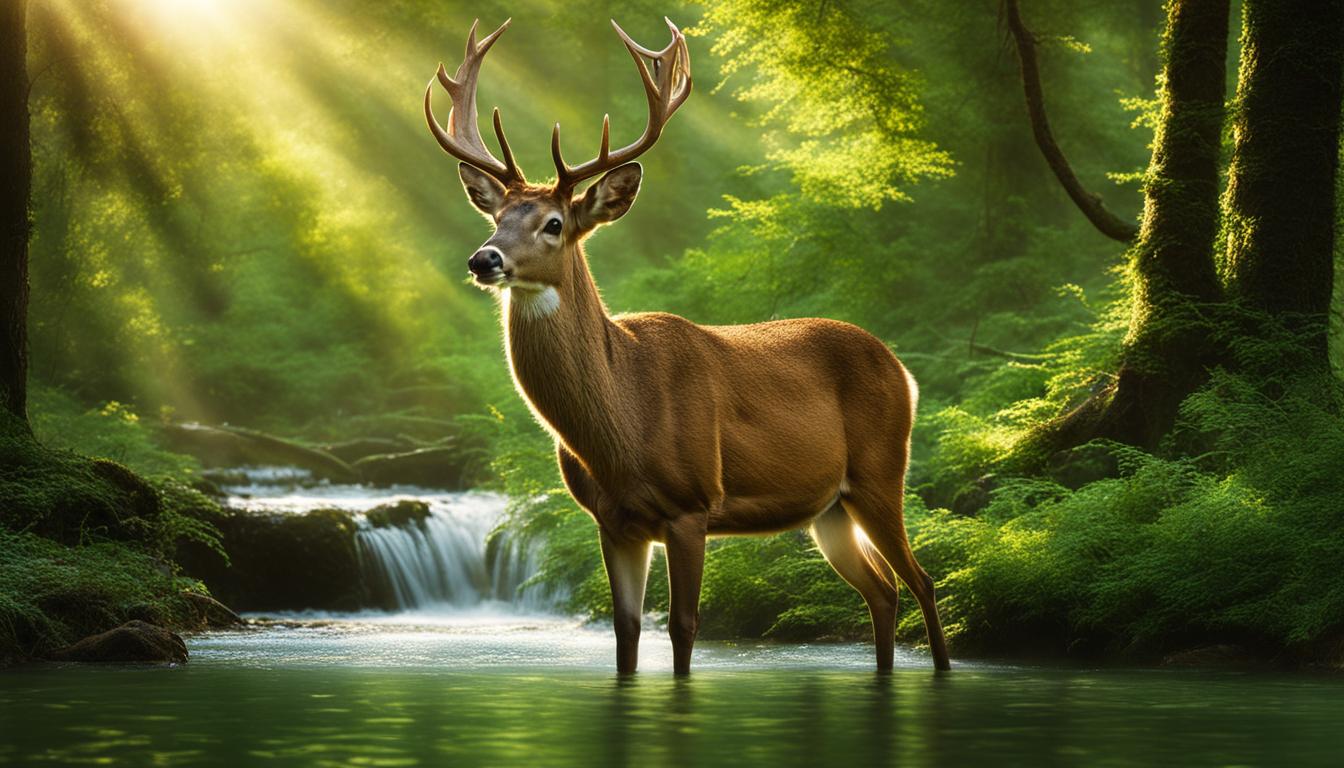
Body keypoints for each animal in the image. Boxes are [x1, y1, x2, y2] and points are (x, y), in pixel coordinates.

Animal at [424, 18, 951, 673]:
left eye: (553, 223)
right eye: (496, 218)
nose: (484, 258)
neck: (624, 422)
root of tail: (903, 371)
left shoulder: (691, 504)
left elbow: (682, 627)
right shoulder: (613, 521)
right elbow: (626, 632)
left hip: (882, 471)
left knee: (923, 581)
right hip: (829, 508)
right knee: (882, 590)